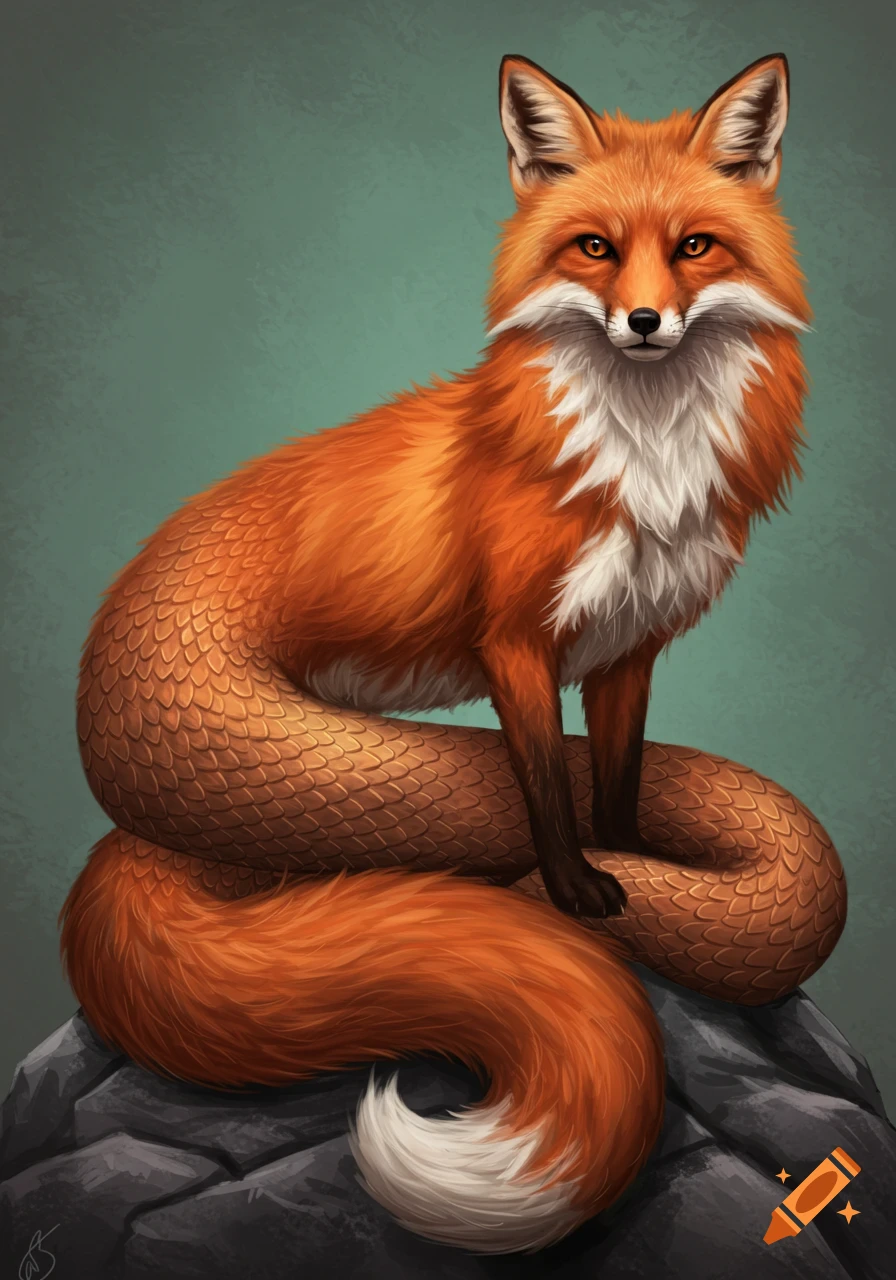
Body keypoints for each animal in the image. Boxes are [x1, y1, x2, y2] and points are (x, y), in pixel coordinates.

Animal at [60, 54, 819, 1255]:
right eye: (594, 247)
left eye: (695, 244)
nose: (645, 319)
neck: (643, 457)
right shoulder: (515, 643)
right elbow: (545, 786)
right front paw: (575, 890)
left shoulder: (626, 650)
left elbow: (614, 787)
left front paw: (622, 865)